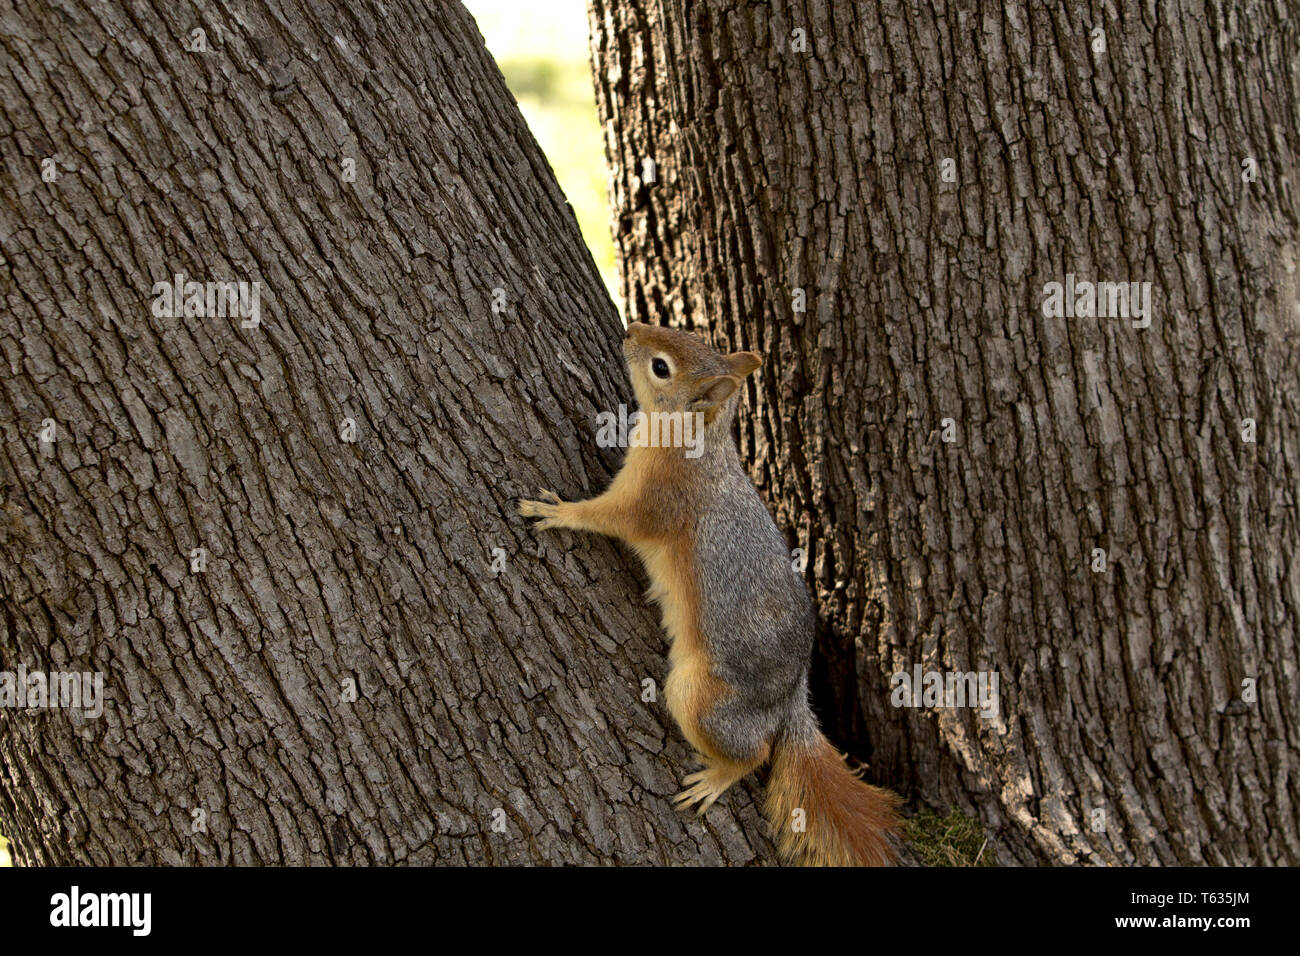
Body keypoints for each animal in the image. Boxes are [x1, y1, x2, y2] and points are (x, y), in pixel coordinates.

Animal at [517, 321, 904, 868]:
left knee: (754, 752)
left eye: (661, 367)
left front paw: (558, 512)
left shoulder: (654, 497)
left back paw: (718, 778)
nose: (631, 328)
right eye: (684, 332)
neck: (696, 440)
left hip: (700, 695)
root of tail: (790, 696)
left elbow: (611, 518)